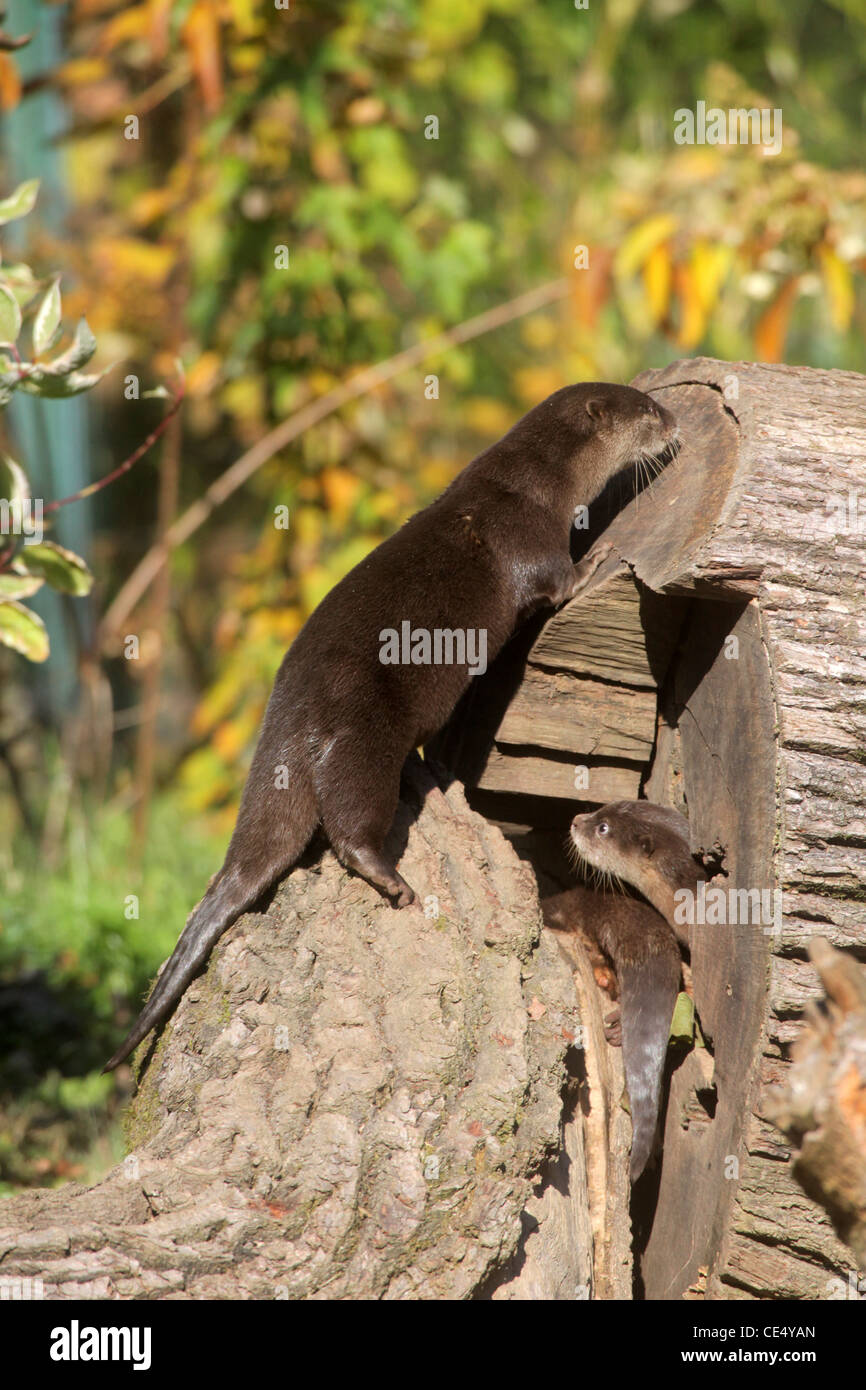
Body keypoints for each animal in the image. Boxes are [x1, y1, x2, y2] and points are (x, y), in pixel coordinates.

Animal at [104, 385, 680, 1072]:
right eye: (645, 408)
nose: (674, 421)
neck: (534, 485)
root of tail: (290, 721)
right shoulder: (526, 538)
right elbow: (555, 580)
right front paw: (595, 559)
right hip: (363, 736)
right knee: (349, 825)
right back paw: (394, 882)